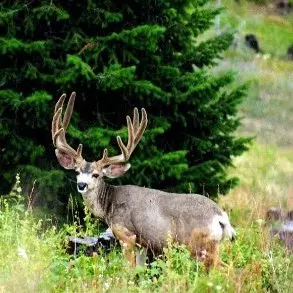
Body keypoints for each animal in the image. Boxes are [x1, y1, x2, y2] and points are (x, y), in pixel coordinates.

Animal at [52, 92, 235, 268]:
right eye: (77, 172)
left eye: (96, 175)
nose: (81, 185)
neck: (110, 205)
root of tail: (221, 217)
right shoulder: (143, 244)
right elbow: (140, 270)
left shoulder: (127, 235)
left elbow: (129, 269)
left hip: (199, 245)